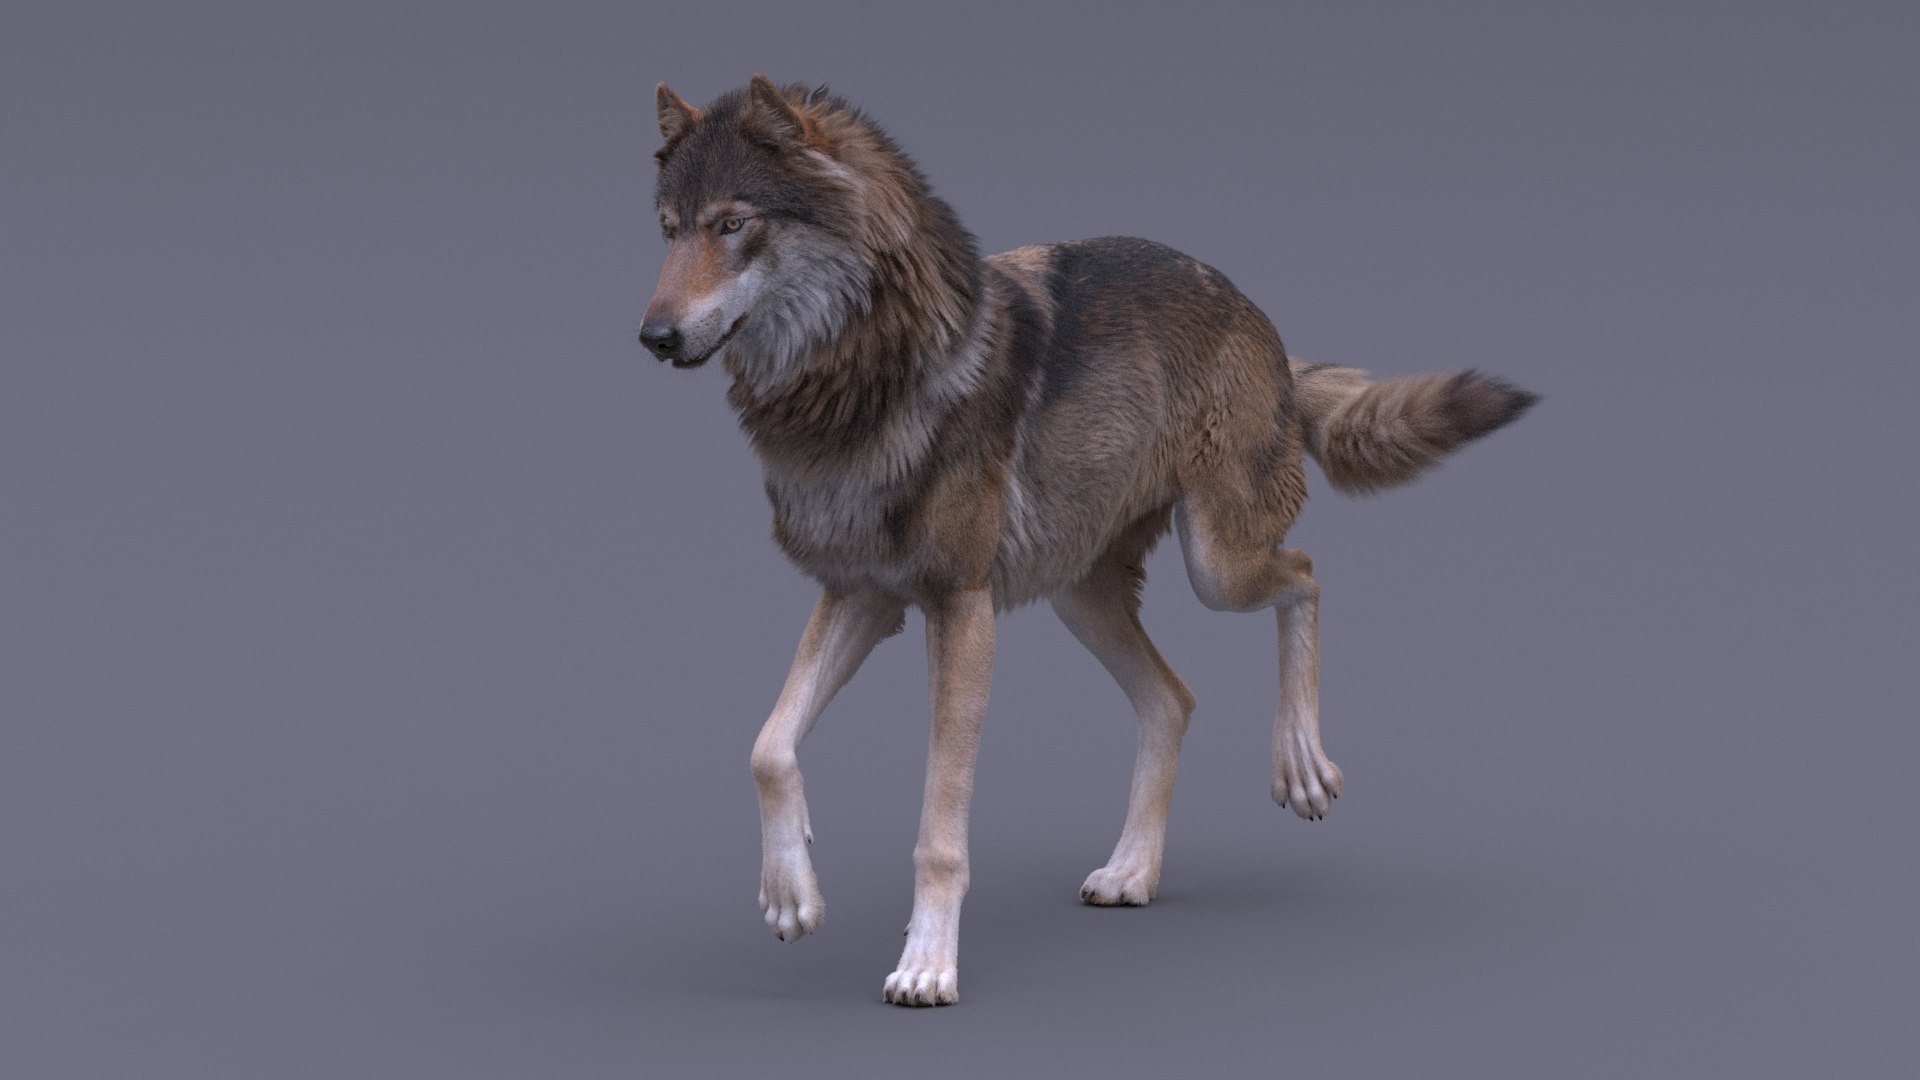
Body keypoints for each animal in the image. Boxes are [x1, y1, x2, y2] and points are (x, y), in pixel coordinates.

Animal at [640, 76, 1536, 1006]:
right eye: (668, 230)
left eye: (732, 225)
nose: (652, 337)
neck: (861, 385)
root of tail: (1263, 323)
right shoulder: (863, 595)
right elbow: (767, 747)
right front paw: (792, 895)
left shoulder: (959, 610)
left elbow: (938, 829)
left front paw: (927, 962)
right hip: (1080, 595)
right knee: (1175, 698)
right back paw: (1133, 871)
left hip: (1216, 567)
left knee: (1307, 575)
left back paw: (1300, 765)